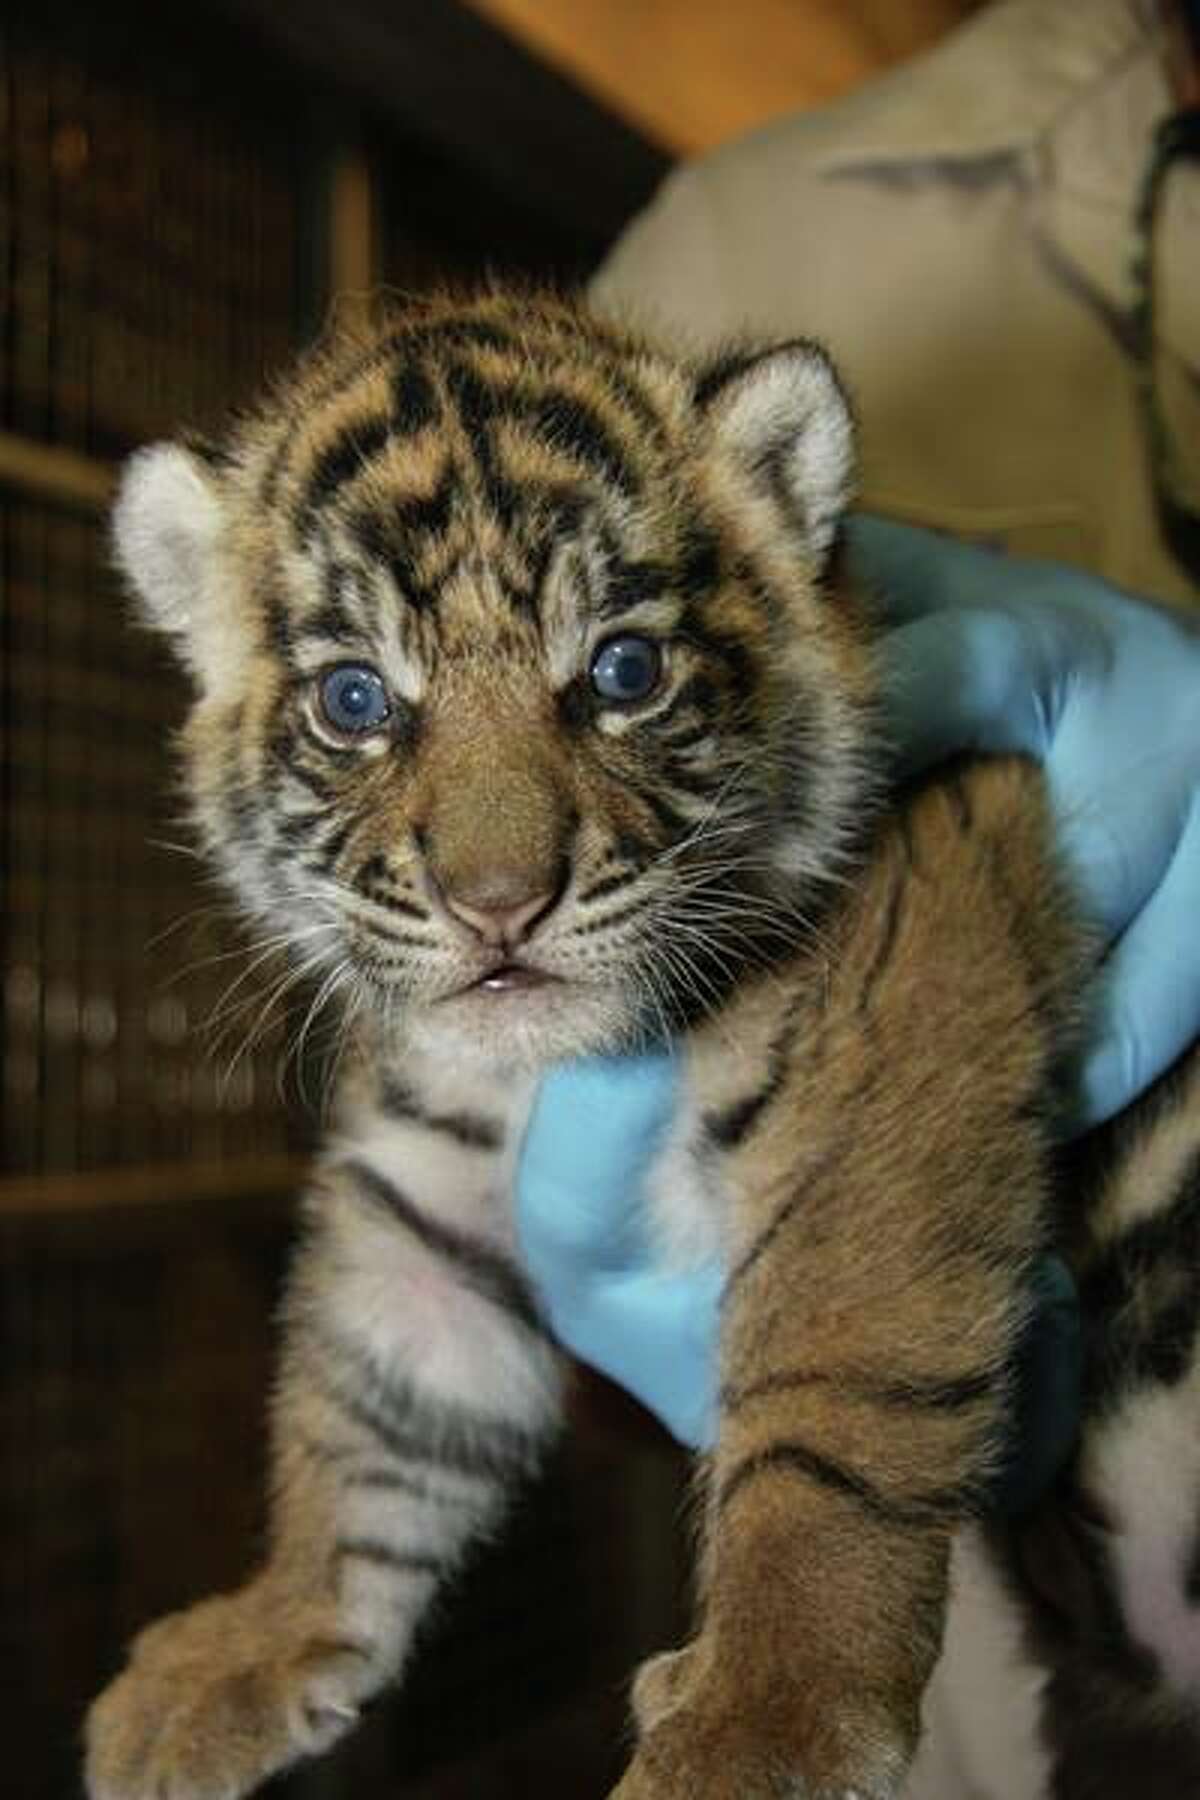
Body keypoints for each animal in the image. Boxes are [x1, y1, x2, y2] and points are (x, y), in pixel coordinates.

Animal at [82, 284, 1163, 1800]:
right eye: (357, 700)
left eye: (622, 671)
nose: (497, 905)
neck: (551, 1072)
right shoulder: (425, 1195)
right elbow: (363, 1414)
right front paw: (260, 1637)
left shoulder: (892, 1045)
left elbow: (829, 1408)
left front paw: (765, 1720)